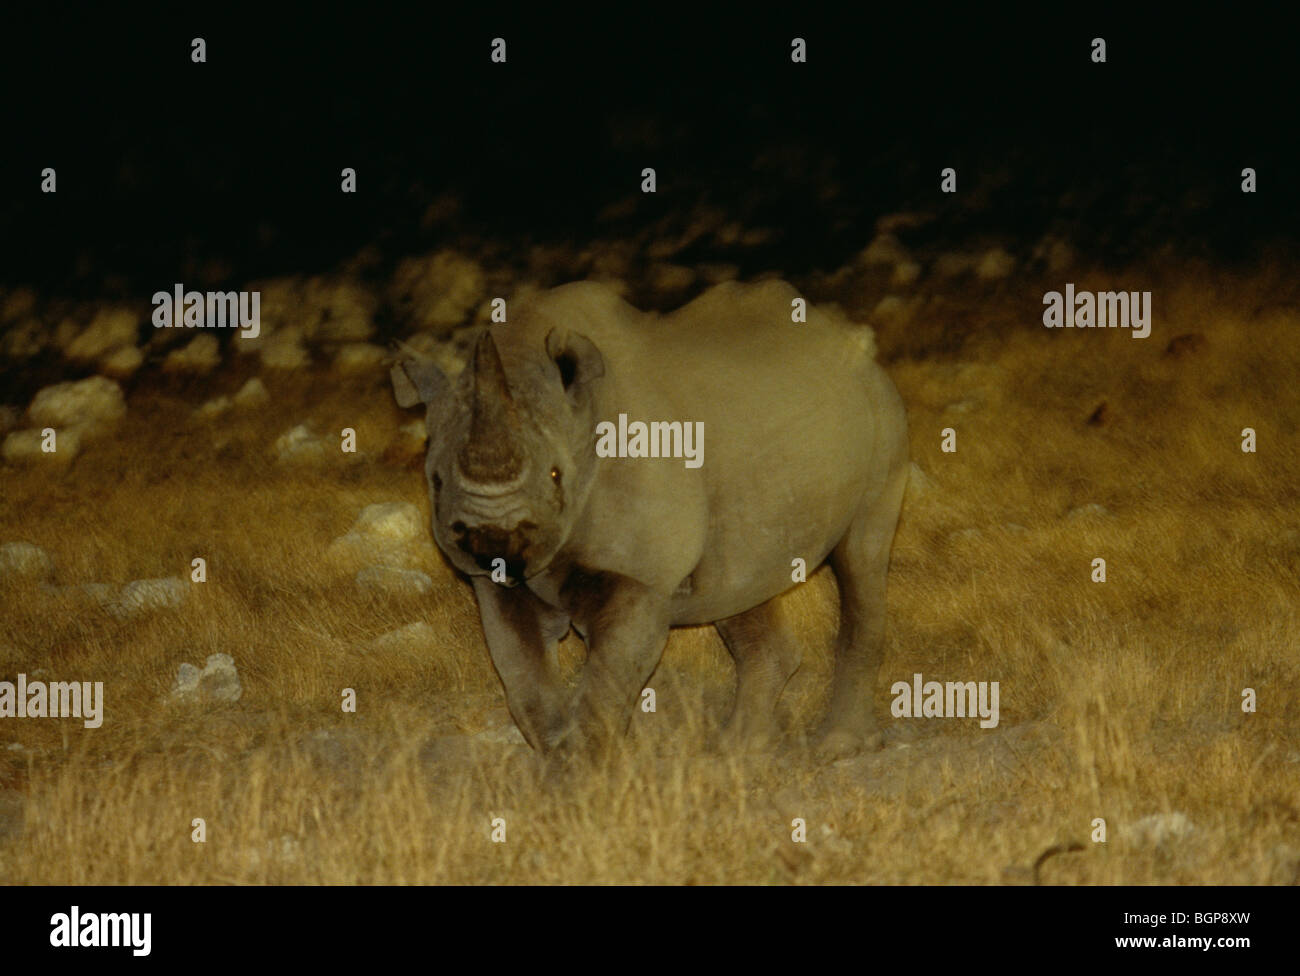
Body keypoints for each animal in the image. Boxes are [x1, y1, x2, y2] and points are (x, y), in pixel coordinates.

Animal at [391, 279, 909, 759]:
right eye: (436, 480)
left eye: (557, 475)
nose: (493, 537)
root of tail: (848, 345)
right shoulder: (493, 583)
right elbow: (524, 677)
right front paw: (557, 766)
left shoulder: (641, 577)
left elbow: (604, 681)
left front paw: (582, 778)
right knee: (739, 582)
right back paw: (737, 749)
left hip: (882, 413)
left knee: (861, 555)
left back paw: (839, 745)